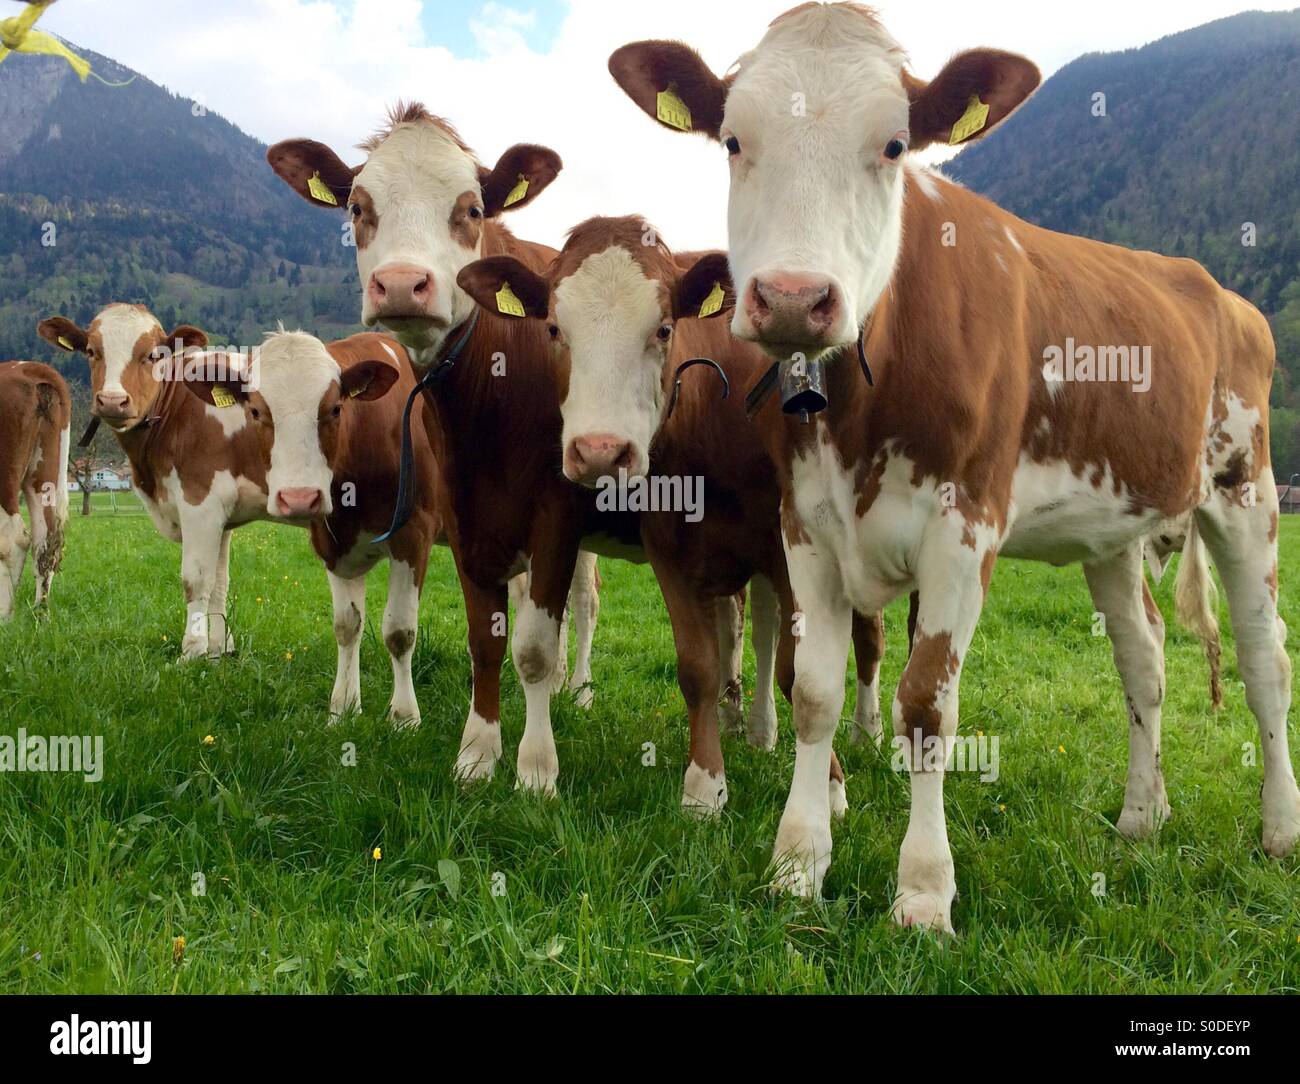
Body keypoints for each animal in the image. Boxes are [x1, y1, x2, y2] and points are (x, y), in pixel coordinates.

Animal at [180, 330, 440, 725]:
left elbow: (399, 632)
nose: (299, 498)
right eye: (256, 411)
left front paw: (404, 717)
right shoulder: (333, 544)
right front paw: (344, 709)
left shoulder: (413, 535)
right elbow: (347, 626)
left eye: (334, 408)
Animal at [268, 105, 604, 793]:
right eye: (358, 207)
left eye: (471, 209)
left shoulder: (544, 514)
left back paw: (577, 689)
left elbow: (524, 644)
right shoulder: (461, 515)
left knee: (583, 604)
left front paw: (535, 768)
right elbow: (484, 638)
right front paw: (474, 753)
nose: (401, 284)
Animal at [458, 216, 890, 810]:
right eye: (553, 330)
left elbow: (797, 668)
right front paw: (705, 785)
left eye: (664, 329)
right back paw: (749, 726)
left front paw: (827, 788)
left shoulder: (795, 551)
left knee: (862, 635)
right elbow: (698, 665)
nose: (599, 451)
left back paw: (866, 731)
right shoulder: (672, 549)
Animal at [610, 2, 1300, 932]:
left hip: (1245, 489)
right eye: (732, 140)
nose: (792, 297)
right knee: (1144, 658)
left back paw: (1278, 827)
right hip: (1113, 529)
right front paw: (797, 865)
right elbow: (814, 693)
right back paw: (1140, 817)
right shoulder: (805, 526)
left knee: (1266, 661)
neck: (857, 411)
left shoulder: (963, 528)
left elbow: (926, 706)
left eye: (896, 144)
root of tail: (1220, 292)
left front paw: (924, 892)